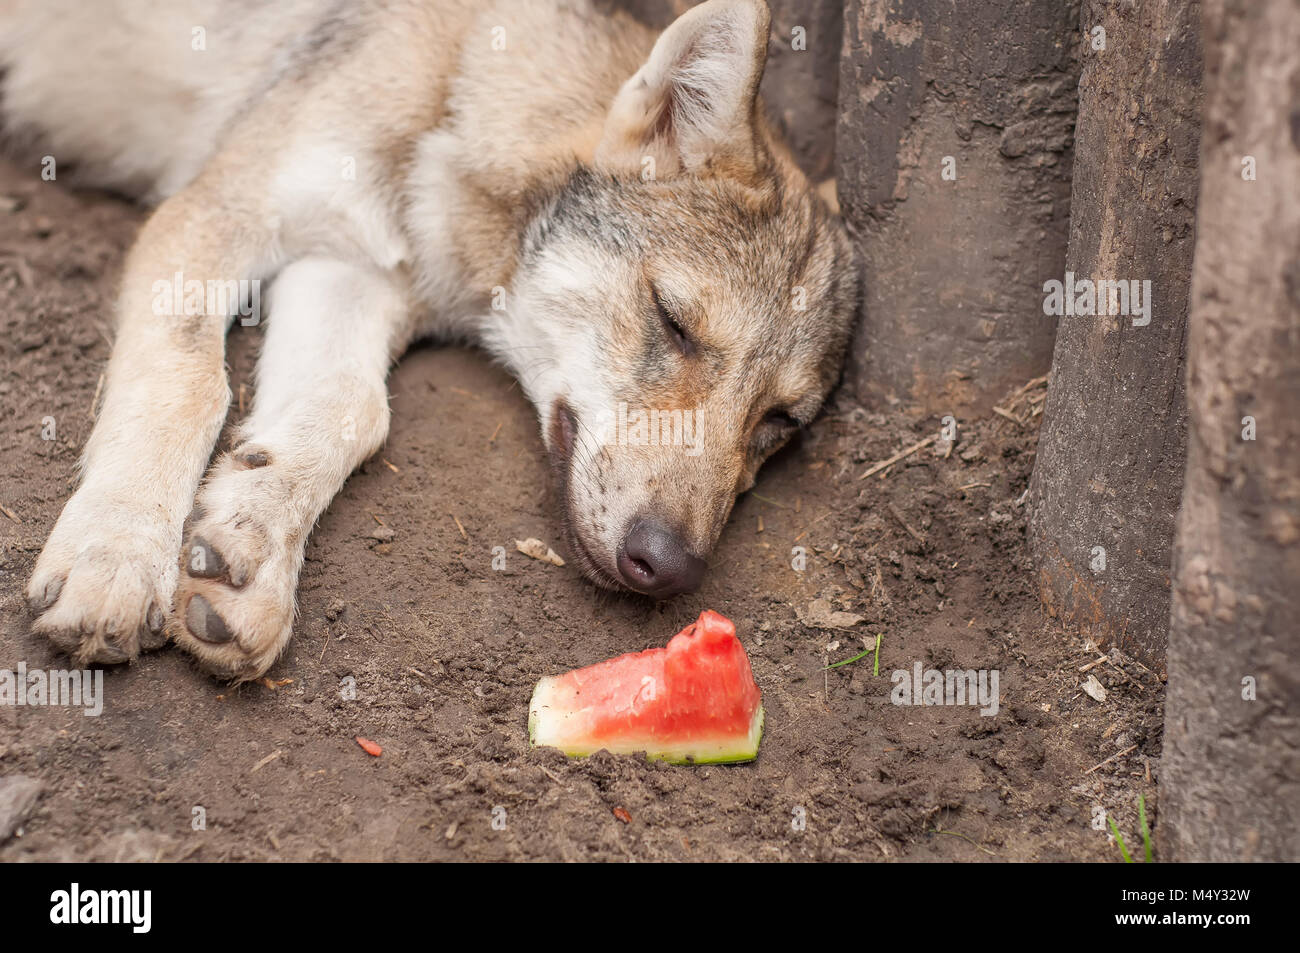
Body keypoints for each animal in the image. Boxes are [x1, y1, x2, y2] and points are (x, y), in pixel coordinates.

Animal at [1, 0, 858, 681]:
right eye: (673, 321)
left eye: (780, 424)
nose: (671, 569)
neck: (453, 92)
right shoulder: (212, 215)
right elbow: (193, 385)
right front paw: (114, 557)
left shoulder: (348, 270)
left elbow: (351, 411)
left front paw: (248, 548)